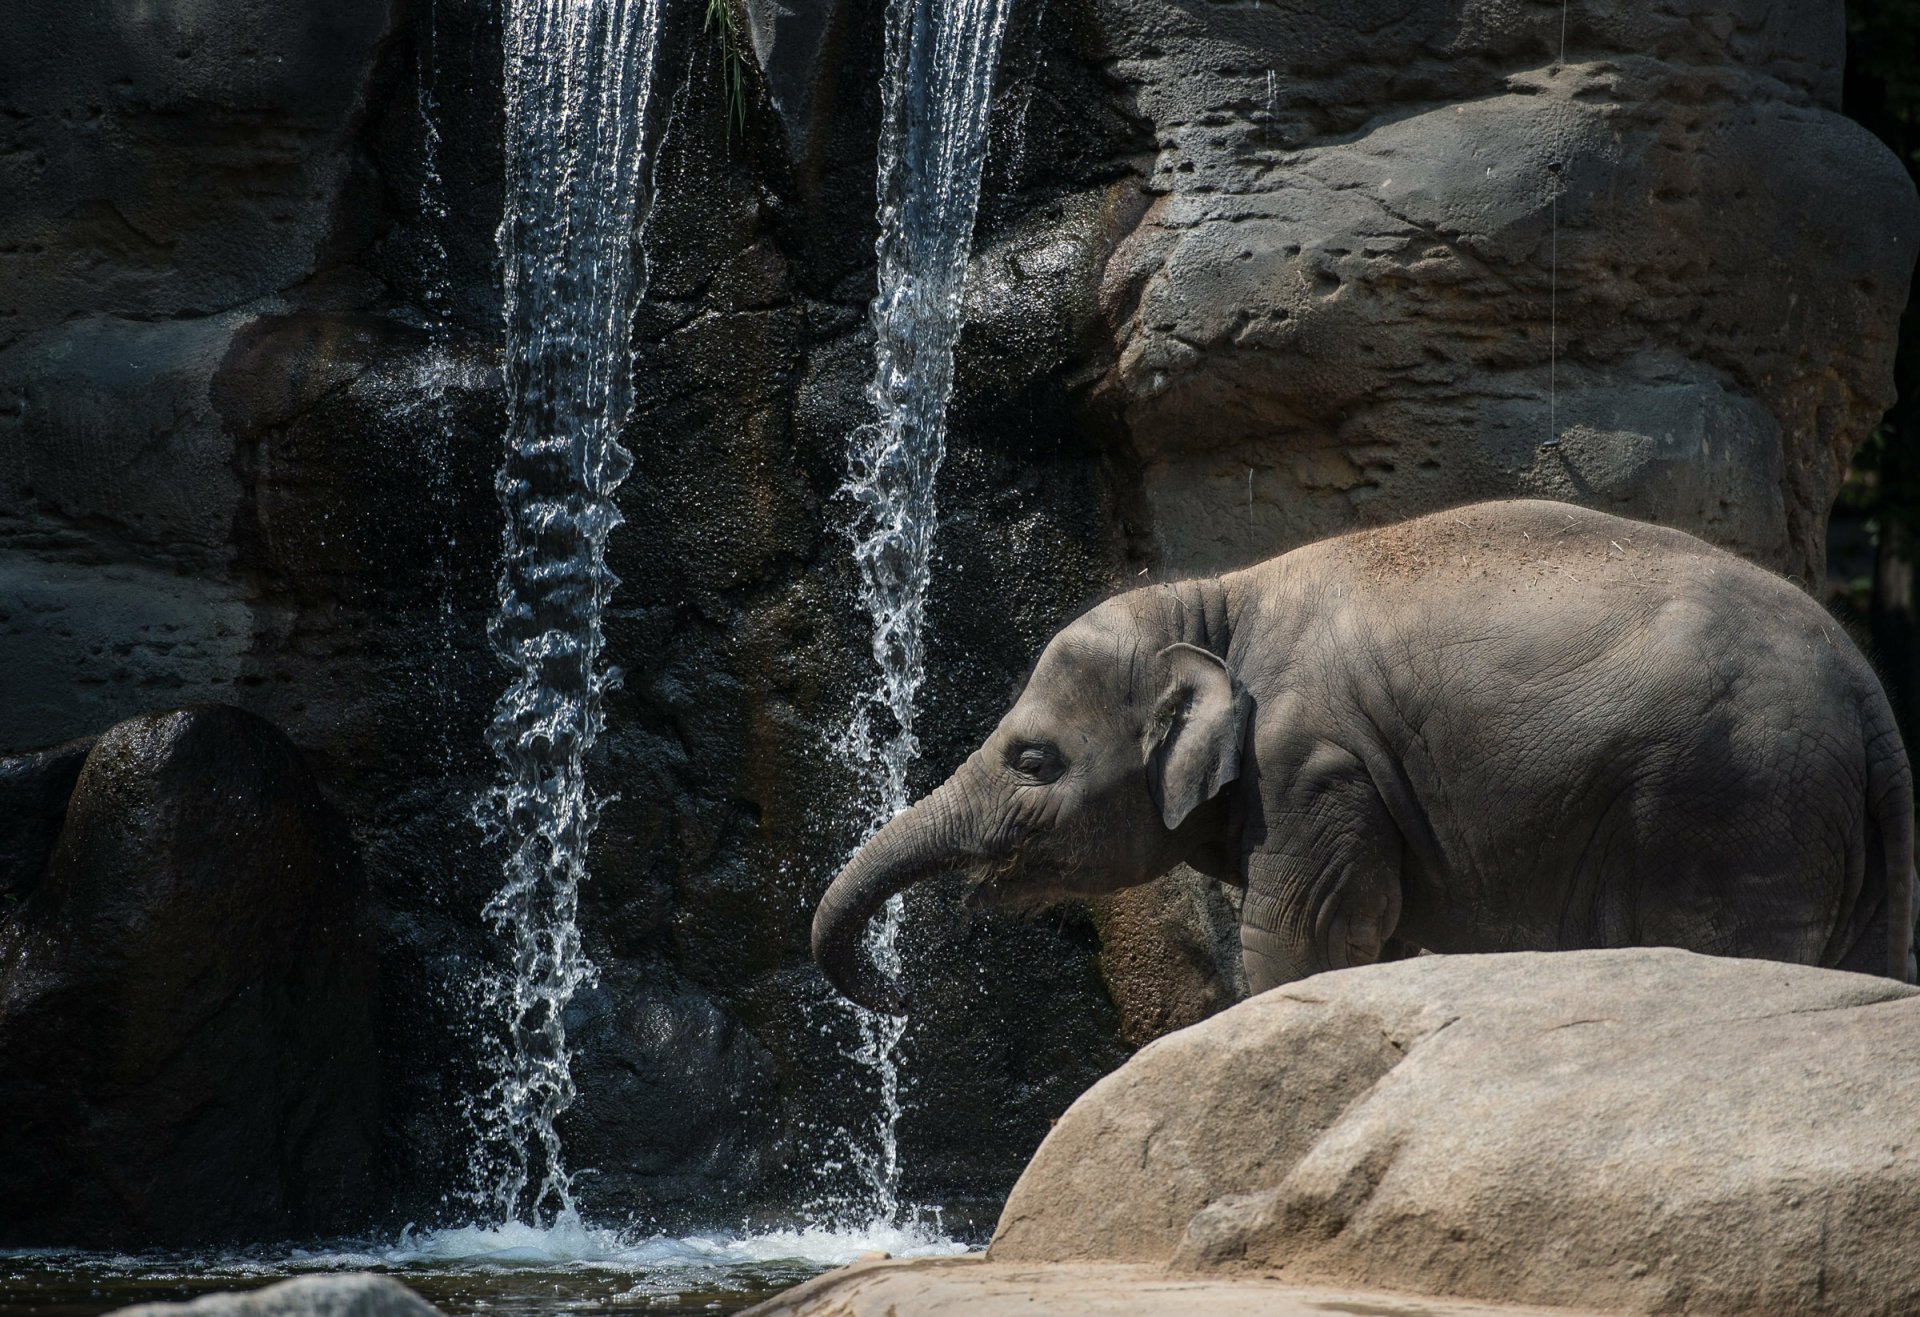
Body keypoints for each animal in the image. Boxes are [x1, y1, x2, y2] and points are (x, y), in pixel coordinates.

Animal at [813, 499, 1917, 1014]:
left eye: (1033, 759)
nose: (903, 995)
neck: (1217, 602)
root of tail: (1869, 688)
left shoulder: (1310, 768)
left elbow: (1299, 940)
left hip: (1735, 804)